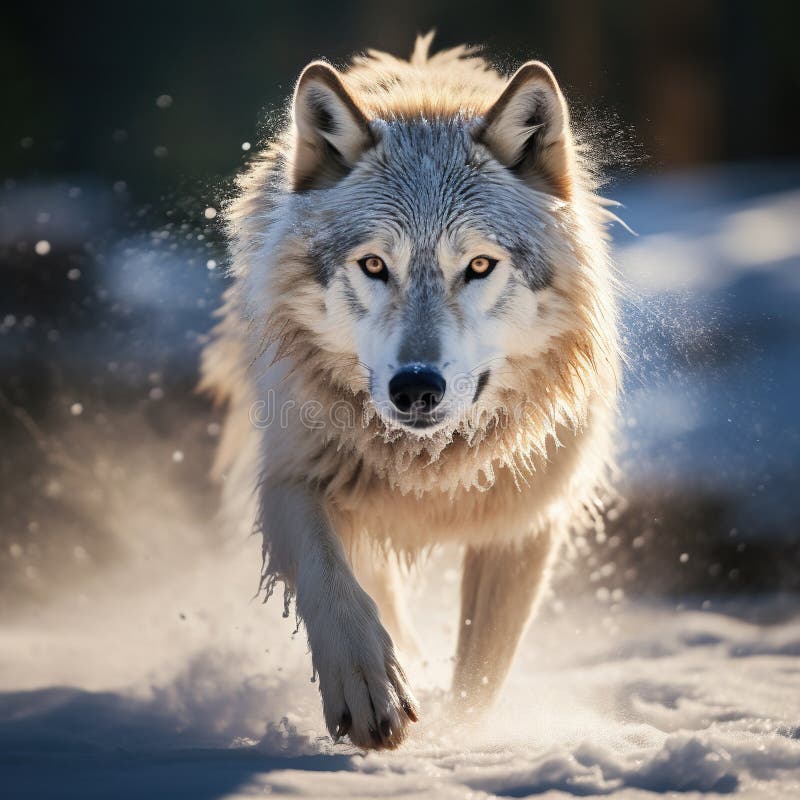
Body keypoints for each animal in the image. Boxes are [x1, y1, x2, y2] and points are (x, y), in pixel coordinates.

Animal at [201, 33, 620, 750]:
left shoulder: (527, 521)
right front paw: (369, 688)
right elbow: (331, 582)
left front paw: (459, 734)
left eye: (477, 265)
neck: (432, 468)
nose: (416, 388)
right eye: (374, 264)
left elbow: (483, 668)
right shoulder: (291, 476)